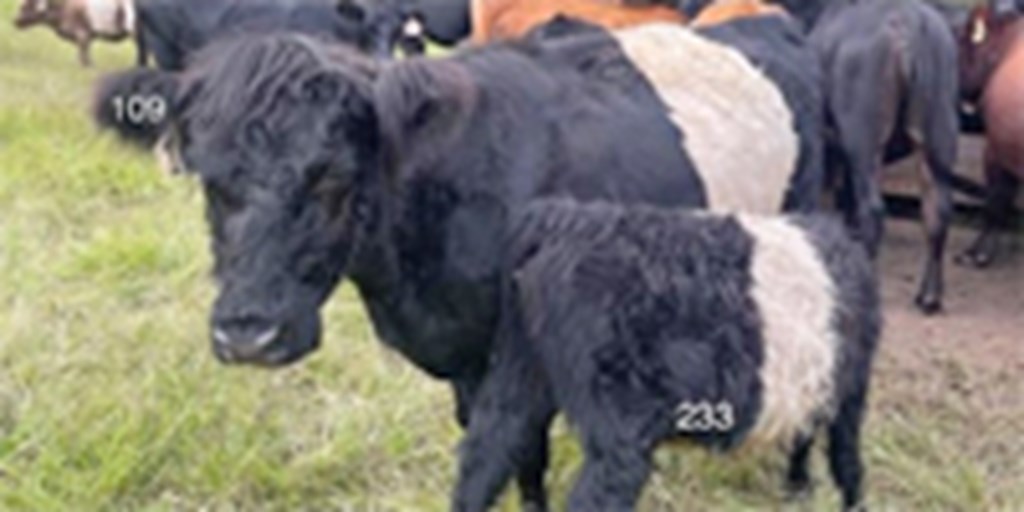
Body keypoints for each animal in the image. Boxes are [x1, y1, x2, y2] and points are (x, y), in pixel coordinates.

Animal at [93, 24, 822, 510]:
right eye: (209, 180)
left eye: (331, 178)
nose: (248, 334)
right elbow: (515, 457)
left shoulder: (518, 356)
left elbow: (508, 451)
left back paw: (797, 480)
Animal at [456, 199, 881, 511]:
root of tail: (565, 221)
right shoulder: (850, 383)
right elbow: (846, 458)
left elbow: (805, 439)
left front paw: (797, 492)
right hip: (618, 428)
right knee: (594, 494)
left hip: (515, 378)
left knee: (483, 461)